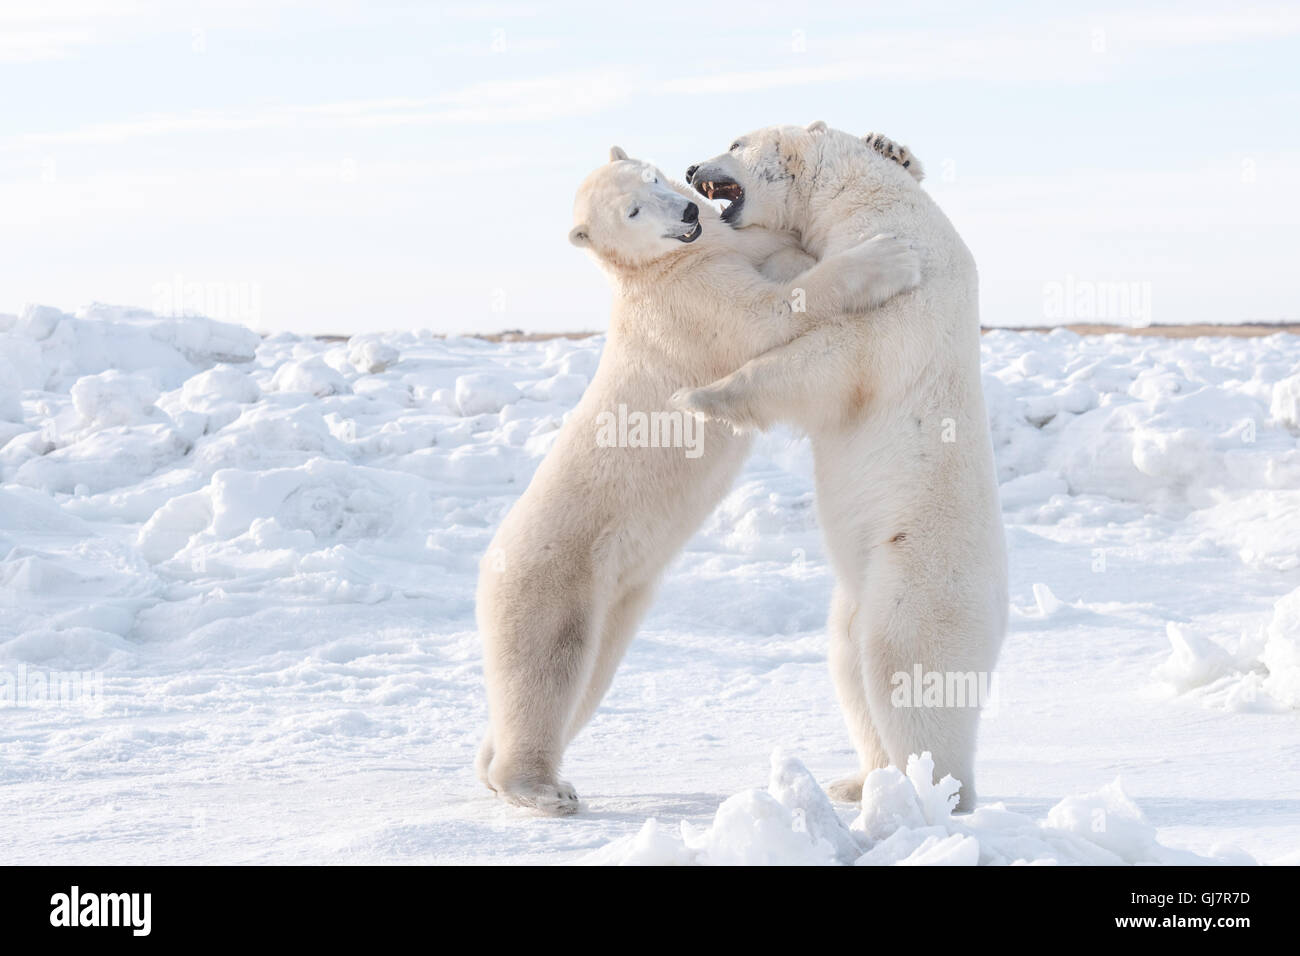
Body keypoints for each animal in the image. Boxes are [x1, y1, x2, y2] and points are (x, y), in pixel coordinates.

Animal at [475, 145, 922, 814]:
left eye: (652, 177)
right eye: (633, 211)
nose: (687, 211)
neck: (649, 272)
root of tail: (489, 566)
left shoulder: (720, 250)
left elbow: (769, 250)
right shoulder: (686, 305)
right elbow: (767, 317)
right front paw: (888, 256)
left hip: (619, 596)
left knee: (590, 676)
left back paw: (510, 769)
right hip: (554, 574)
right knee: (548, 667)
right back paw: (539, 789)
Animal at [676, 122, 1008, 811]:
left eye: (736, 141)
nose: (691, 166)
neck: (862, 196)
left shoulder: (905, 284)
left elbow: (835, 362)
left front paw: (701, 397)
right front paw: (891, 146)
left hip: (921, 574)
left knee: (905, 669)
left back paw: (932, 794)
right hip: (857, 593)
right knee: (847, 663)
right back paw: (857, 781)